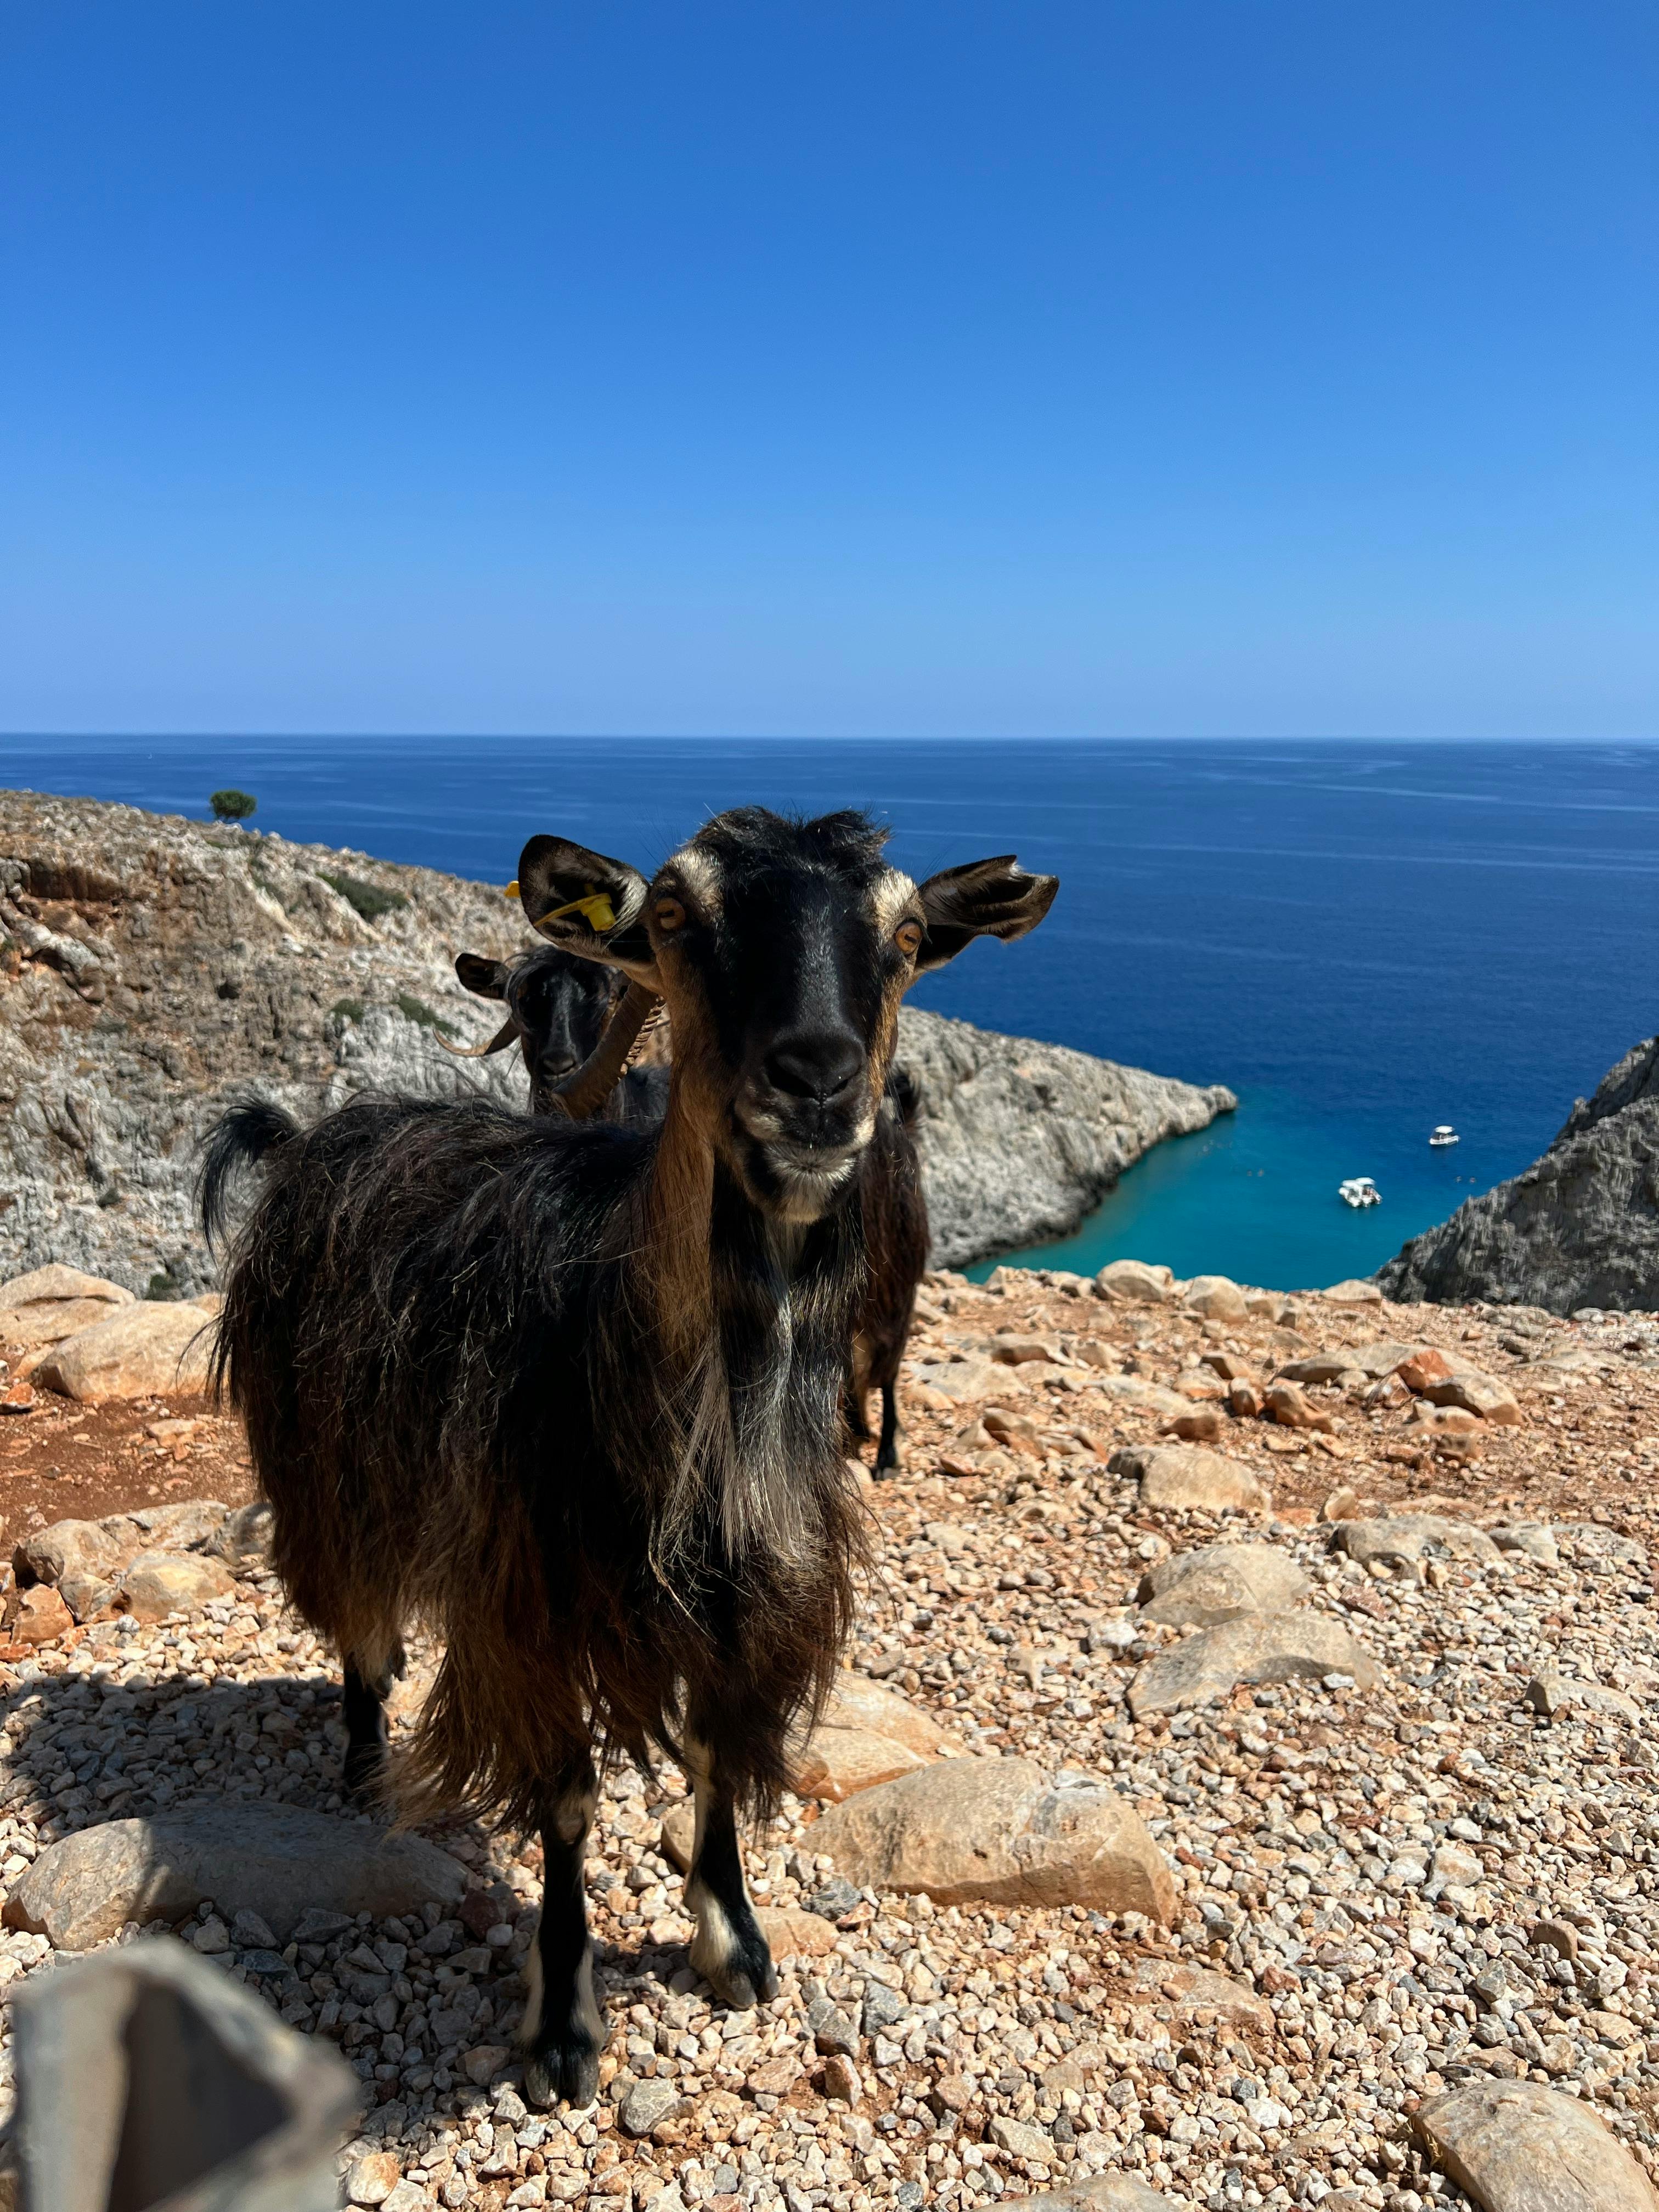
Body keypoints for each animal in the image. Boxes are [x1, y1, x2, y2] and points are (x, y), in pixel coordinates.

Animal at [456, 938, 927, 1472]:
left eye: (608, 995)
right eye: (522, 1001)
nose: (561, 1065)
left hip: (894, 1268)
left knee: (888, 1353)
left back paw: (885, 1450)